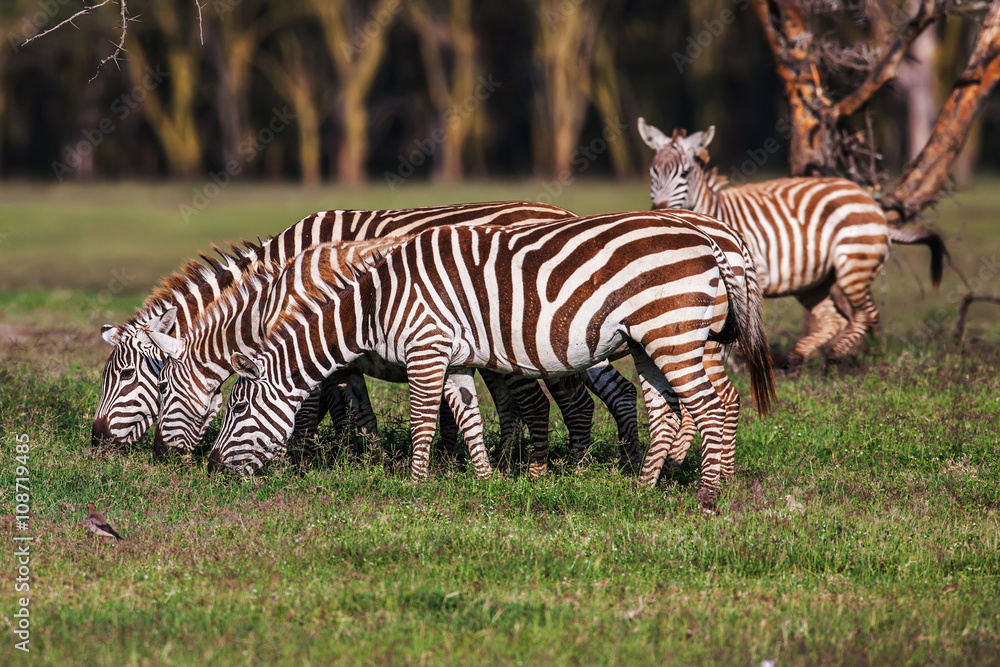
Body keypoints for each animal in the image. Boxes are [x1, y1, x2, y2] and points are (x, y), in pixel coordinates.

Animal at [91, 201, 584, 450]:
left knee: (548, 402)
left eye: (137, 376)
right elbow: (352, 407)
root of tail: (561, 212)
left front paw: (299, 458)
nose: (96, 440)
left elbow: (312, 405)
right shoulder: (337, 346)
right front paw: (361, 455)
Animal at [208, 211, 776, 508]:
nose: (210, 470)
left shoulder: (426, 344)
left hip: (671, 333)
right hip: (651, 341)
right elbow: (469, 417)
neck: (375, 303)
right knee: (672, 407)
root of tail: (708, 239)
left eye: (237, 409)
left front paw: (415, 485)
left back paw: (707, 496)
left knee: (710, 404)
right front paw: (485, 481)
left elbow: (421, 419)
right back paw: (643, 488)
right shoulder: (454, 357)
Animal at [637, 118, 948, 372]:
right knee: (835, 319)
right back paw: (794, 359)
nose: (659, 209)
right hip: (812, 283)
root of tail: (871, 201)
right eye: (652, 172)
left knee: (864, 315)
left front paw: (732, 365)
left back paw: (833, 357)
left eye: (685, 173)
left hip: (854, 264)